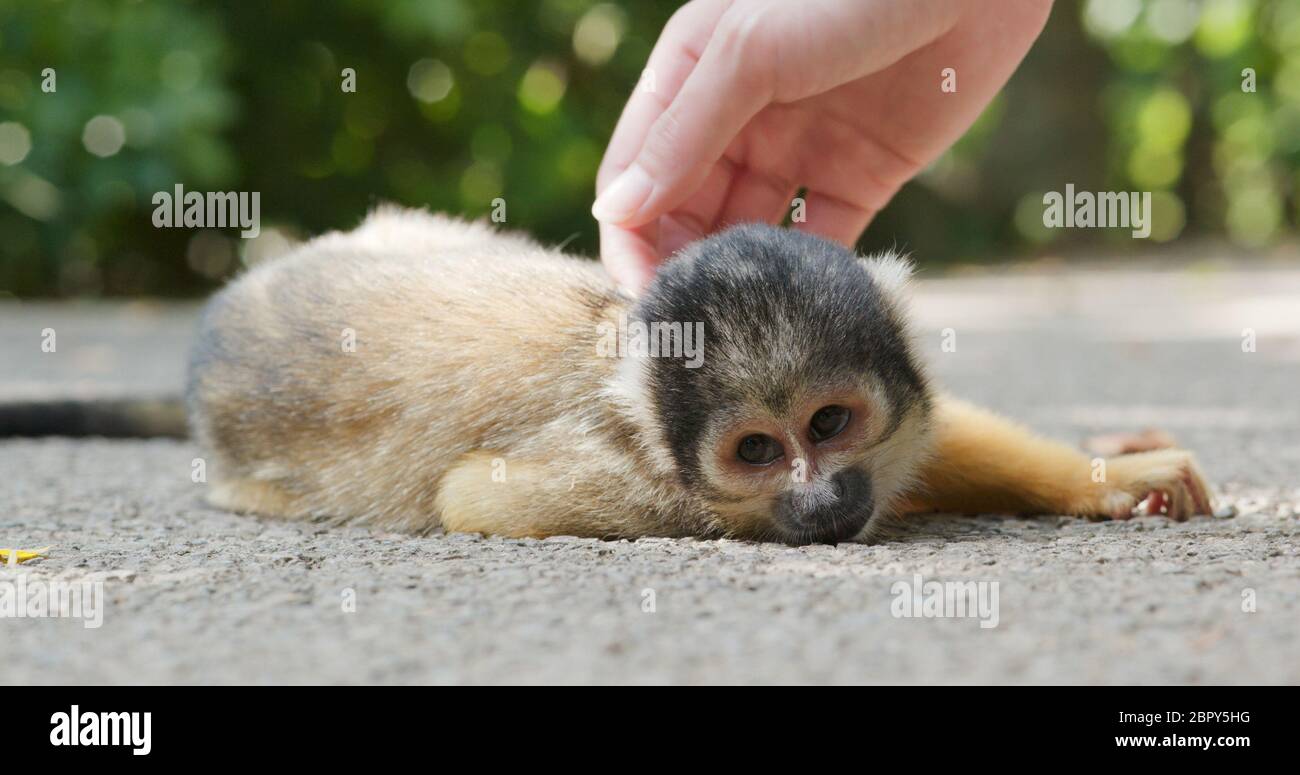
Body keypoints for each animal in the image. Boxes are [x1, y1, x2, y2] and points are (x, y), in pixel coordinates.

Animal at [181, 206, 1213, 545]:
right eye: (757, 451)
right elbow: (471, 497)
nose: (823, 494)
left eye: (829, 424)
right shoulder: (616, 471)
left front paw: (1114, 475)